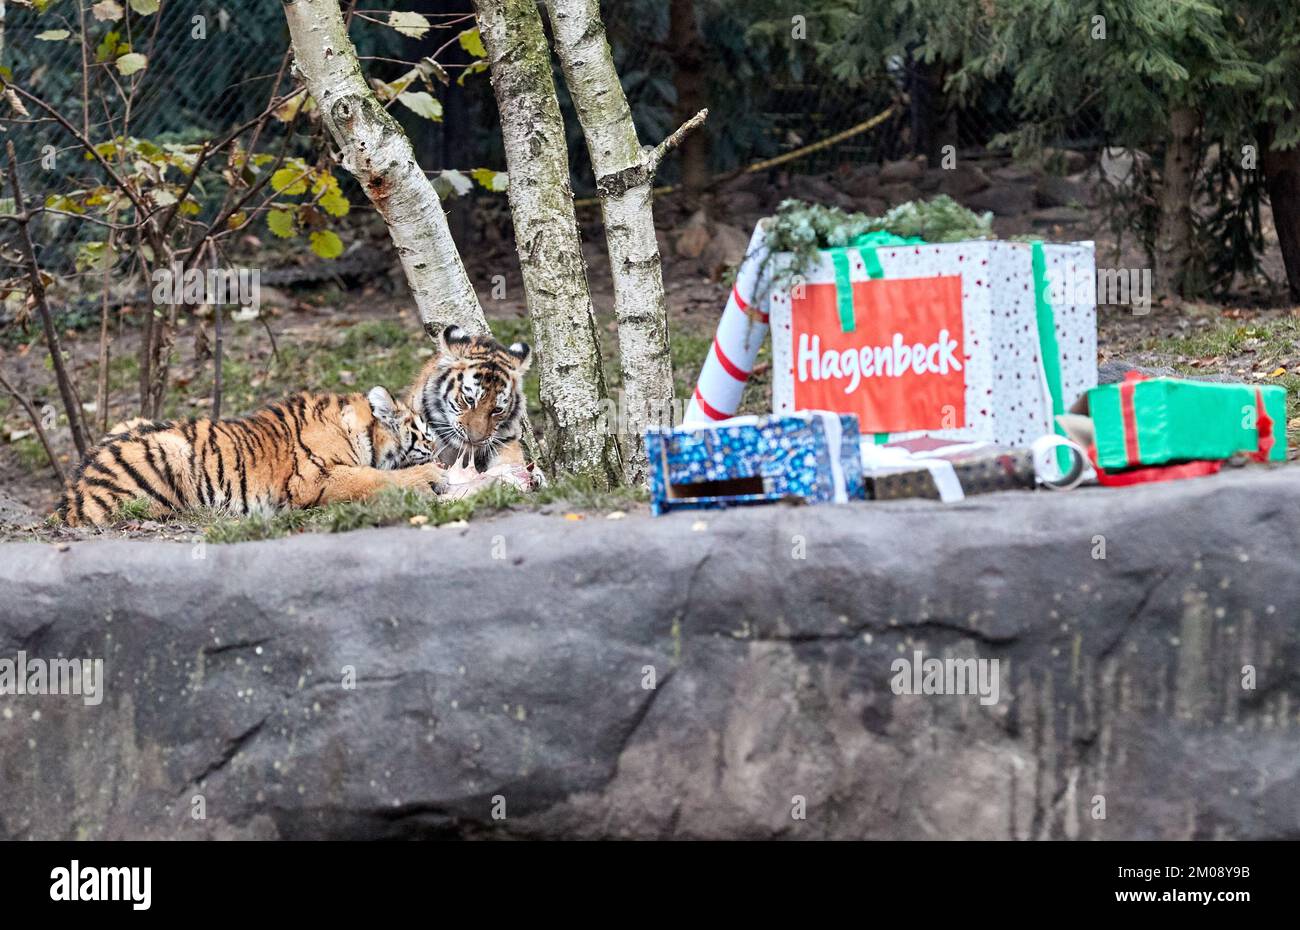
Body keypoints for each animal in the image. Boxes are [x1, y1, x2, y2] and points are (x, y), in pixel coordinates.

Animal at [60, 386, 444, 527]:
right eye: (427, 436)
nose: (442, 456)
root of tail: (70, 496)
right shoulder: (315, 479)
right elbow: (375, 477)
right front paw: (432, 476)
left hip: (132, 422)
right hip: (170, 451)